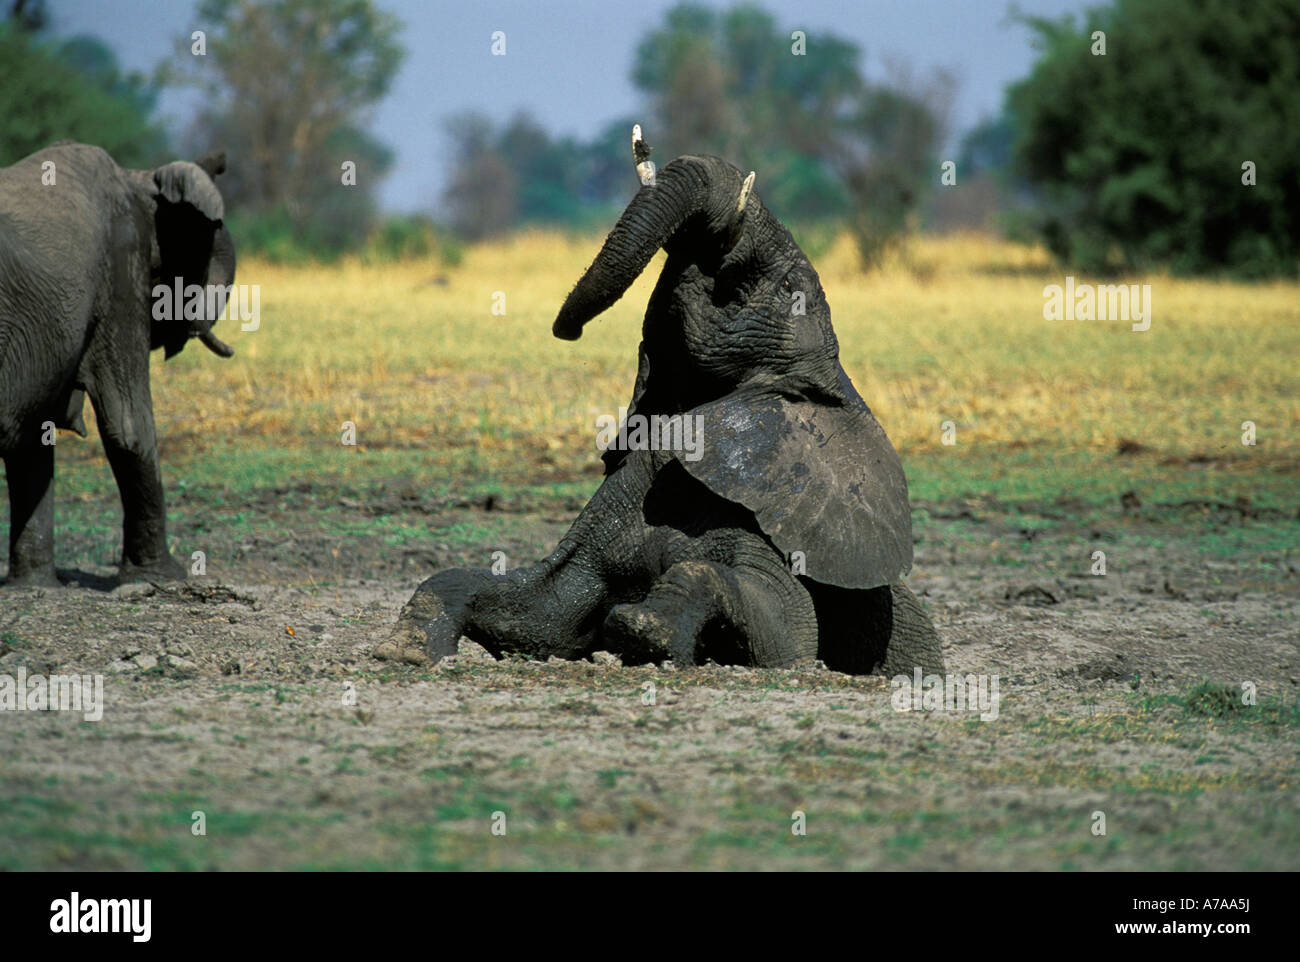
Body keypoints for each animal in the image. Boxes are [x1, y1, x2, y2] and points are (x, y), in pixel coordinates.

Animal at [0, 142, 237, 587]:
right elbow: (129, 425)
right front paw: (167, 578)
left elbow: (33, 436)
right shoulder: (122, 273)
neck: (139, 179)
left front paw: (34, 586)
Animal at [385, 132, 943, 675]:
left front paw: (641, 628)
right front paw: (406, 648)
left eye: (788, 287)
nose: (567, 330)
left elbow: (789, 632)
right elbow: (542, 615)